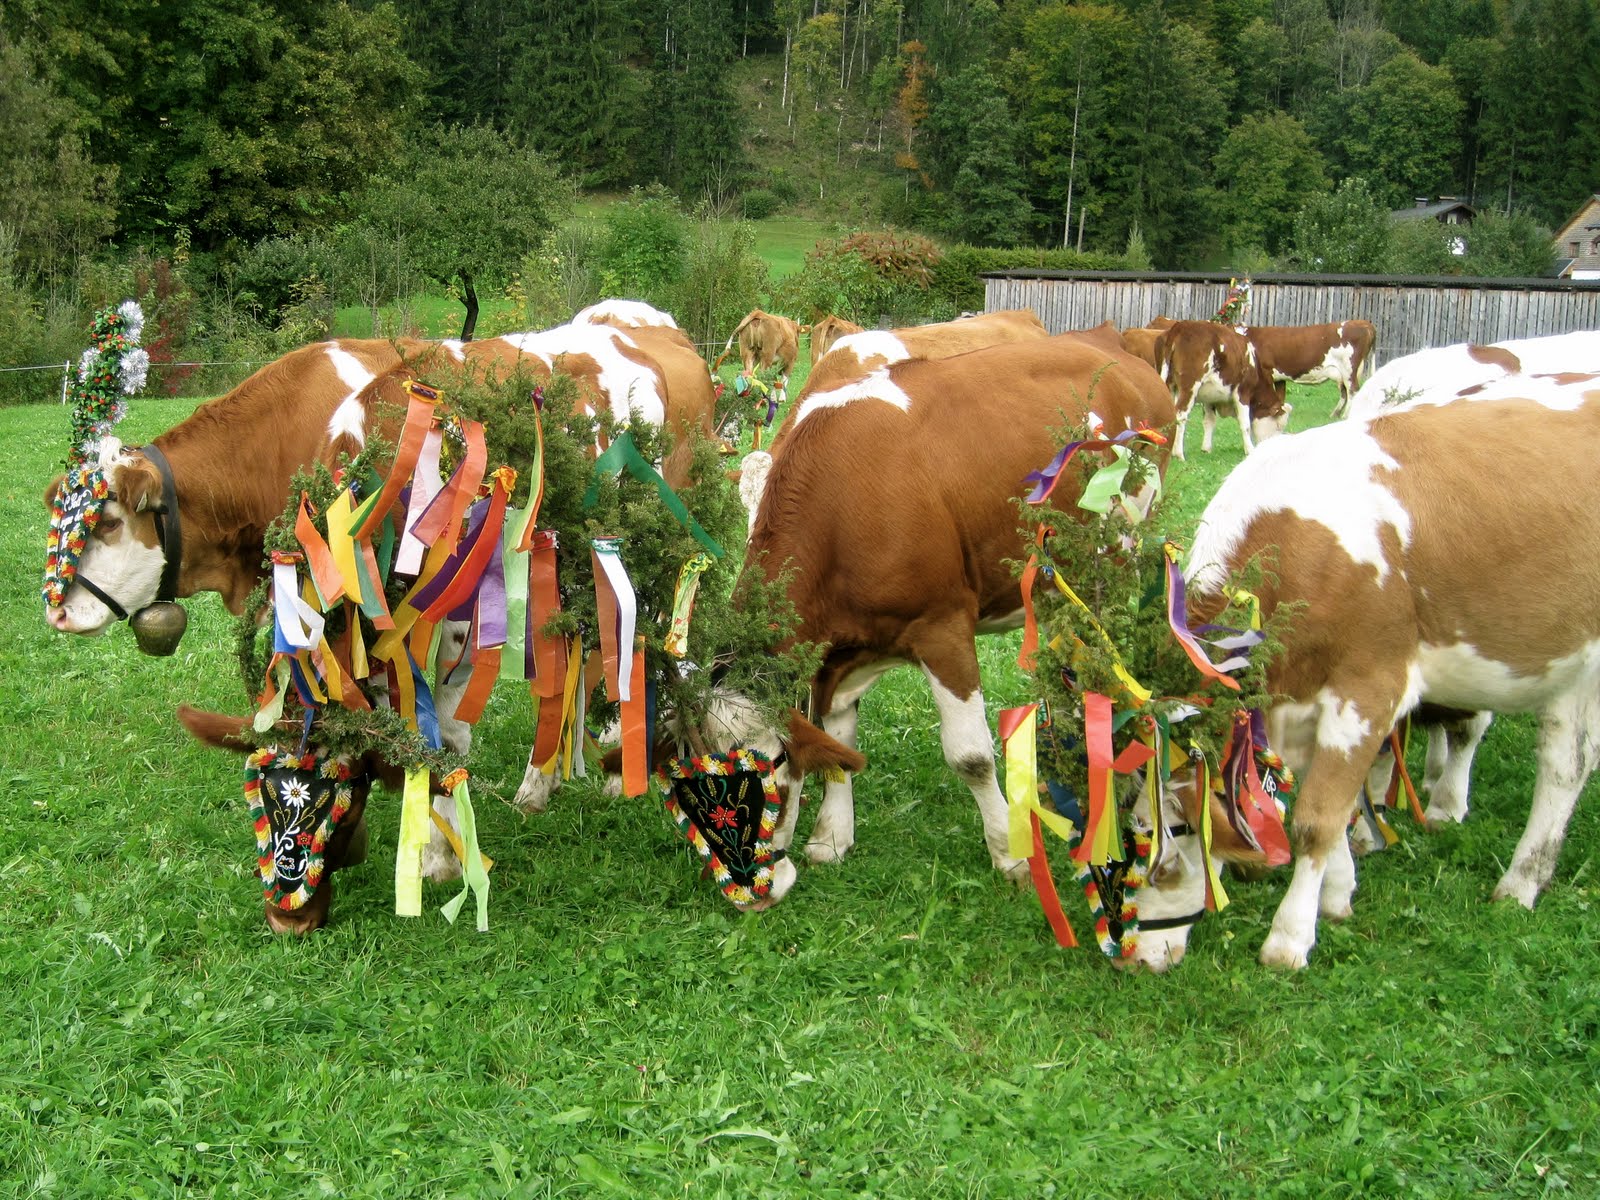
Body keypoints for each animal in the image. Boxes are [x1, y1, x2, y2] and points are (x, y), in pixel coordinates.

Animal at [729, 335, 1176, 881]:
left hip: (1114, 556)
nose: (748, 880)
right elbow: (840, 743)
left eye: (761, 772)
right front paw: (832, 836)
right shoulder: (842, 649)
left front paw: (1011, 852)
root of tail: (1120, 354)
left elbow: (971, 756)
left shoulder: (943, 626)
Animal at [1129, 384, 1600, 971]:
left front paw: (1289, 937)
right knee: (1570, 763)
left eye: (1169, 848)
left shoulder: (1369, 686)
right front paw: (1337, 894)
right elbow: (1340, 805)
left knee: (1557, 768)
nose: (1131, 957)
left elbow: (1317, 820)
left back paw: (1517, 882)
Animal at [1153, 320, 1287, 459]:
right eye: (1278, 425)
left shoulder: (1208, 398)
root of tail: (1180, 325)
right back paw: (1179, 454)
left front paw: (1206, 448)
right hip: (1190, 386)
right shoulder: (1243, 392)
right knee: (1180, 416)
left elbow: (1209, 421)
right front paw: (1250, 450)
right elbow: (1245, 424)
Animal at [1239, 321, 1376, 419]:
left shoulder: (1266, 372)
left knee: (1353, 391)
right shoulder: (1279, 378)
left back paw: (1345, 416)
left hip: (1349, 370)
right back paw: (1335, 414)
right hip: (1342, 374)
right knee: (1345, 392)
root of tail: (1363, 323)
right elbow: (1280, 397)